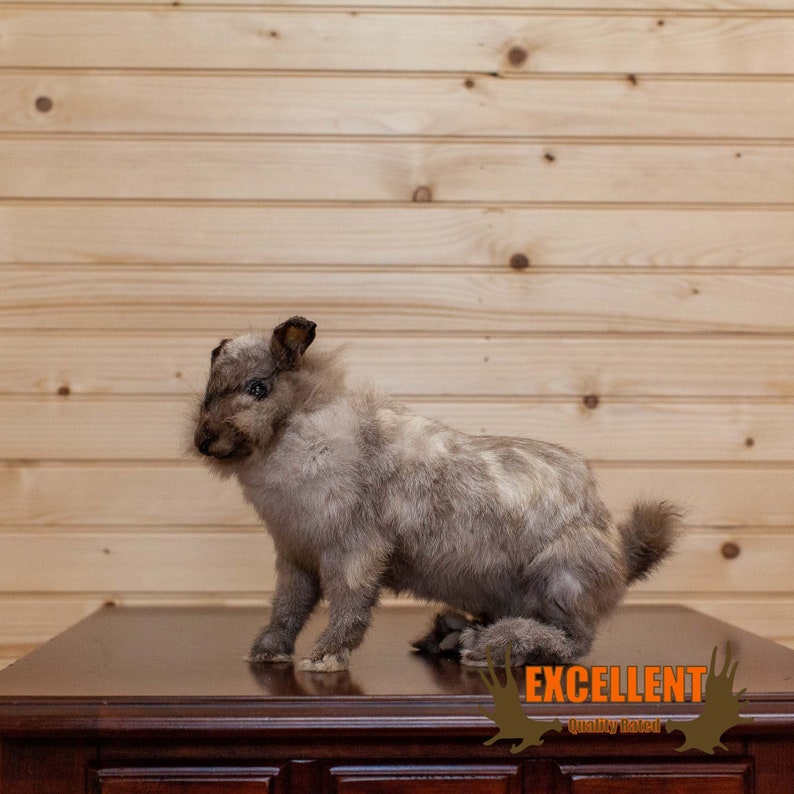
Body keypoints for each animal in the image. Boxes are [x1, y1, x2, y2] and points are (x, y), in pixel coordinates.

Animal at [193, 316, 680, 672]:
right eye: (207, 390)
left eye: (258, 387)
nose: (203, 441)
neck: (295, 427)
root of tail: (620, 557)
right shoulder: (295, 557)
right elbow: (287, 608)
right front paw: (267, 651)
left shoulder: (354, 551)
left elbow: (349, 606)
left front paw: (325, 658)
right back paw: (449, 634)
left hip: (560, 581)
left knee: (570, 644)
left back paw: (489, 647)